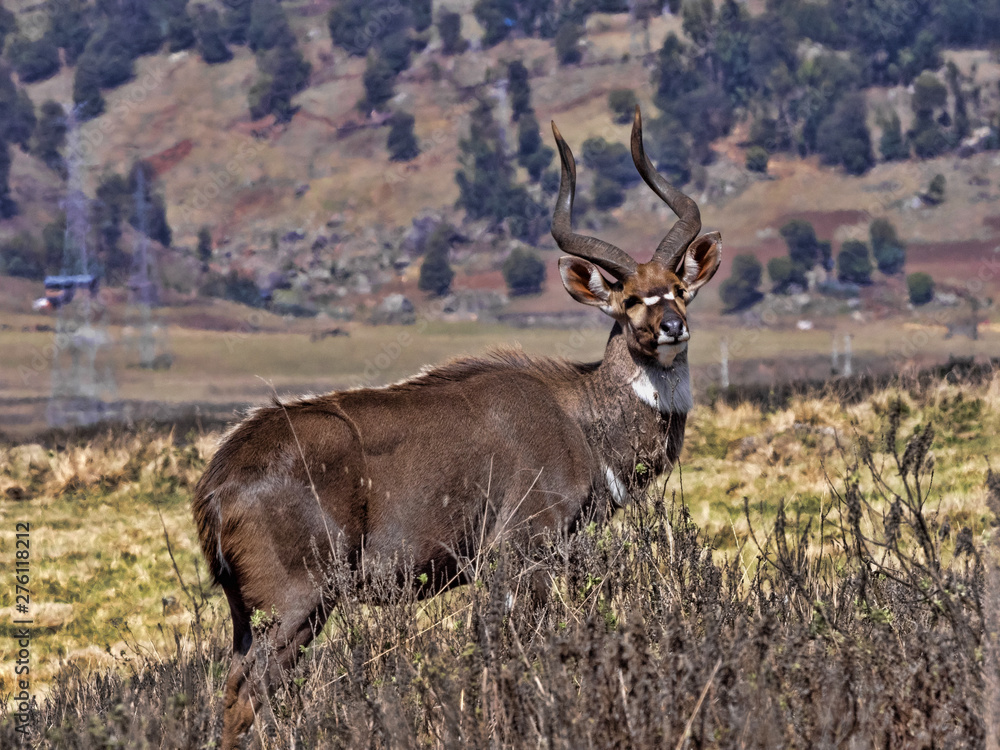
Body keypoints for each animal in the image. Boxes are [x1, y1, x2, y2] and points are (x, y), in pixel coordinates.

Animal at [193, 107, 721, 749]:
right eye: (629, 301)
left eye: (680, 290)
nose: (671, 326)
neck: (577, 417)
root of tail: (215, 488)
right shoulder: (522, 548)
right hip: (297, 602)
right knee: (248, 691)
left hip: (252, 615)